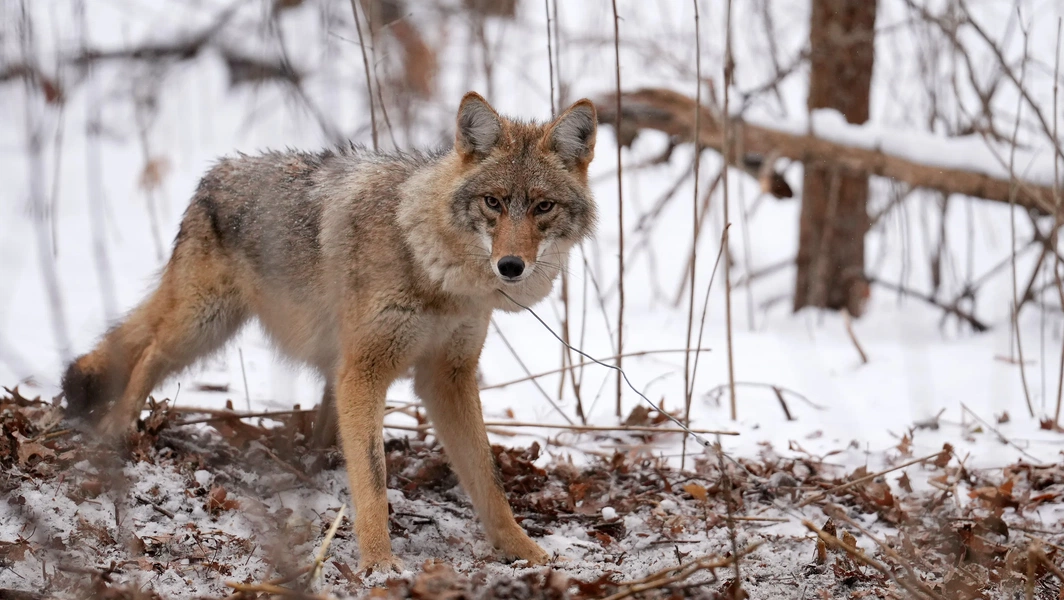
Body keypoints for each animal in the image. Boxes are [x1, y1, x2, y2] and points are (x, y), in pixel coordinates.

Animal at [60, 92, 598, 572]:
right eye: (493, 202)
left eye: (543, 207)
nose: (511, 266)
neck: (434, 270)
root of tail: (216, 172)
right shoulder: (365, 372)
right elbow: (374, 481)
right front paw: (378, 564)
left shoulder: (446, 377)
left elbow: (487, 479)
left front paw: (525, 552)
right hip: (202, 326)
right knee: (148, 352)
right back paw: (116, 431)